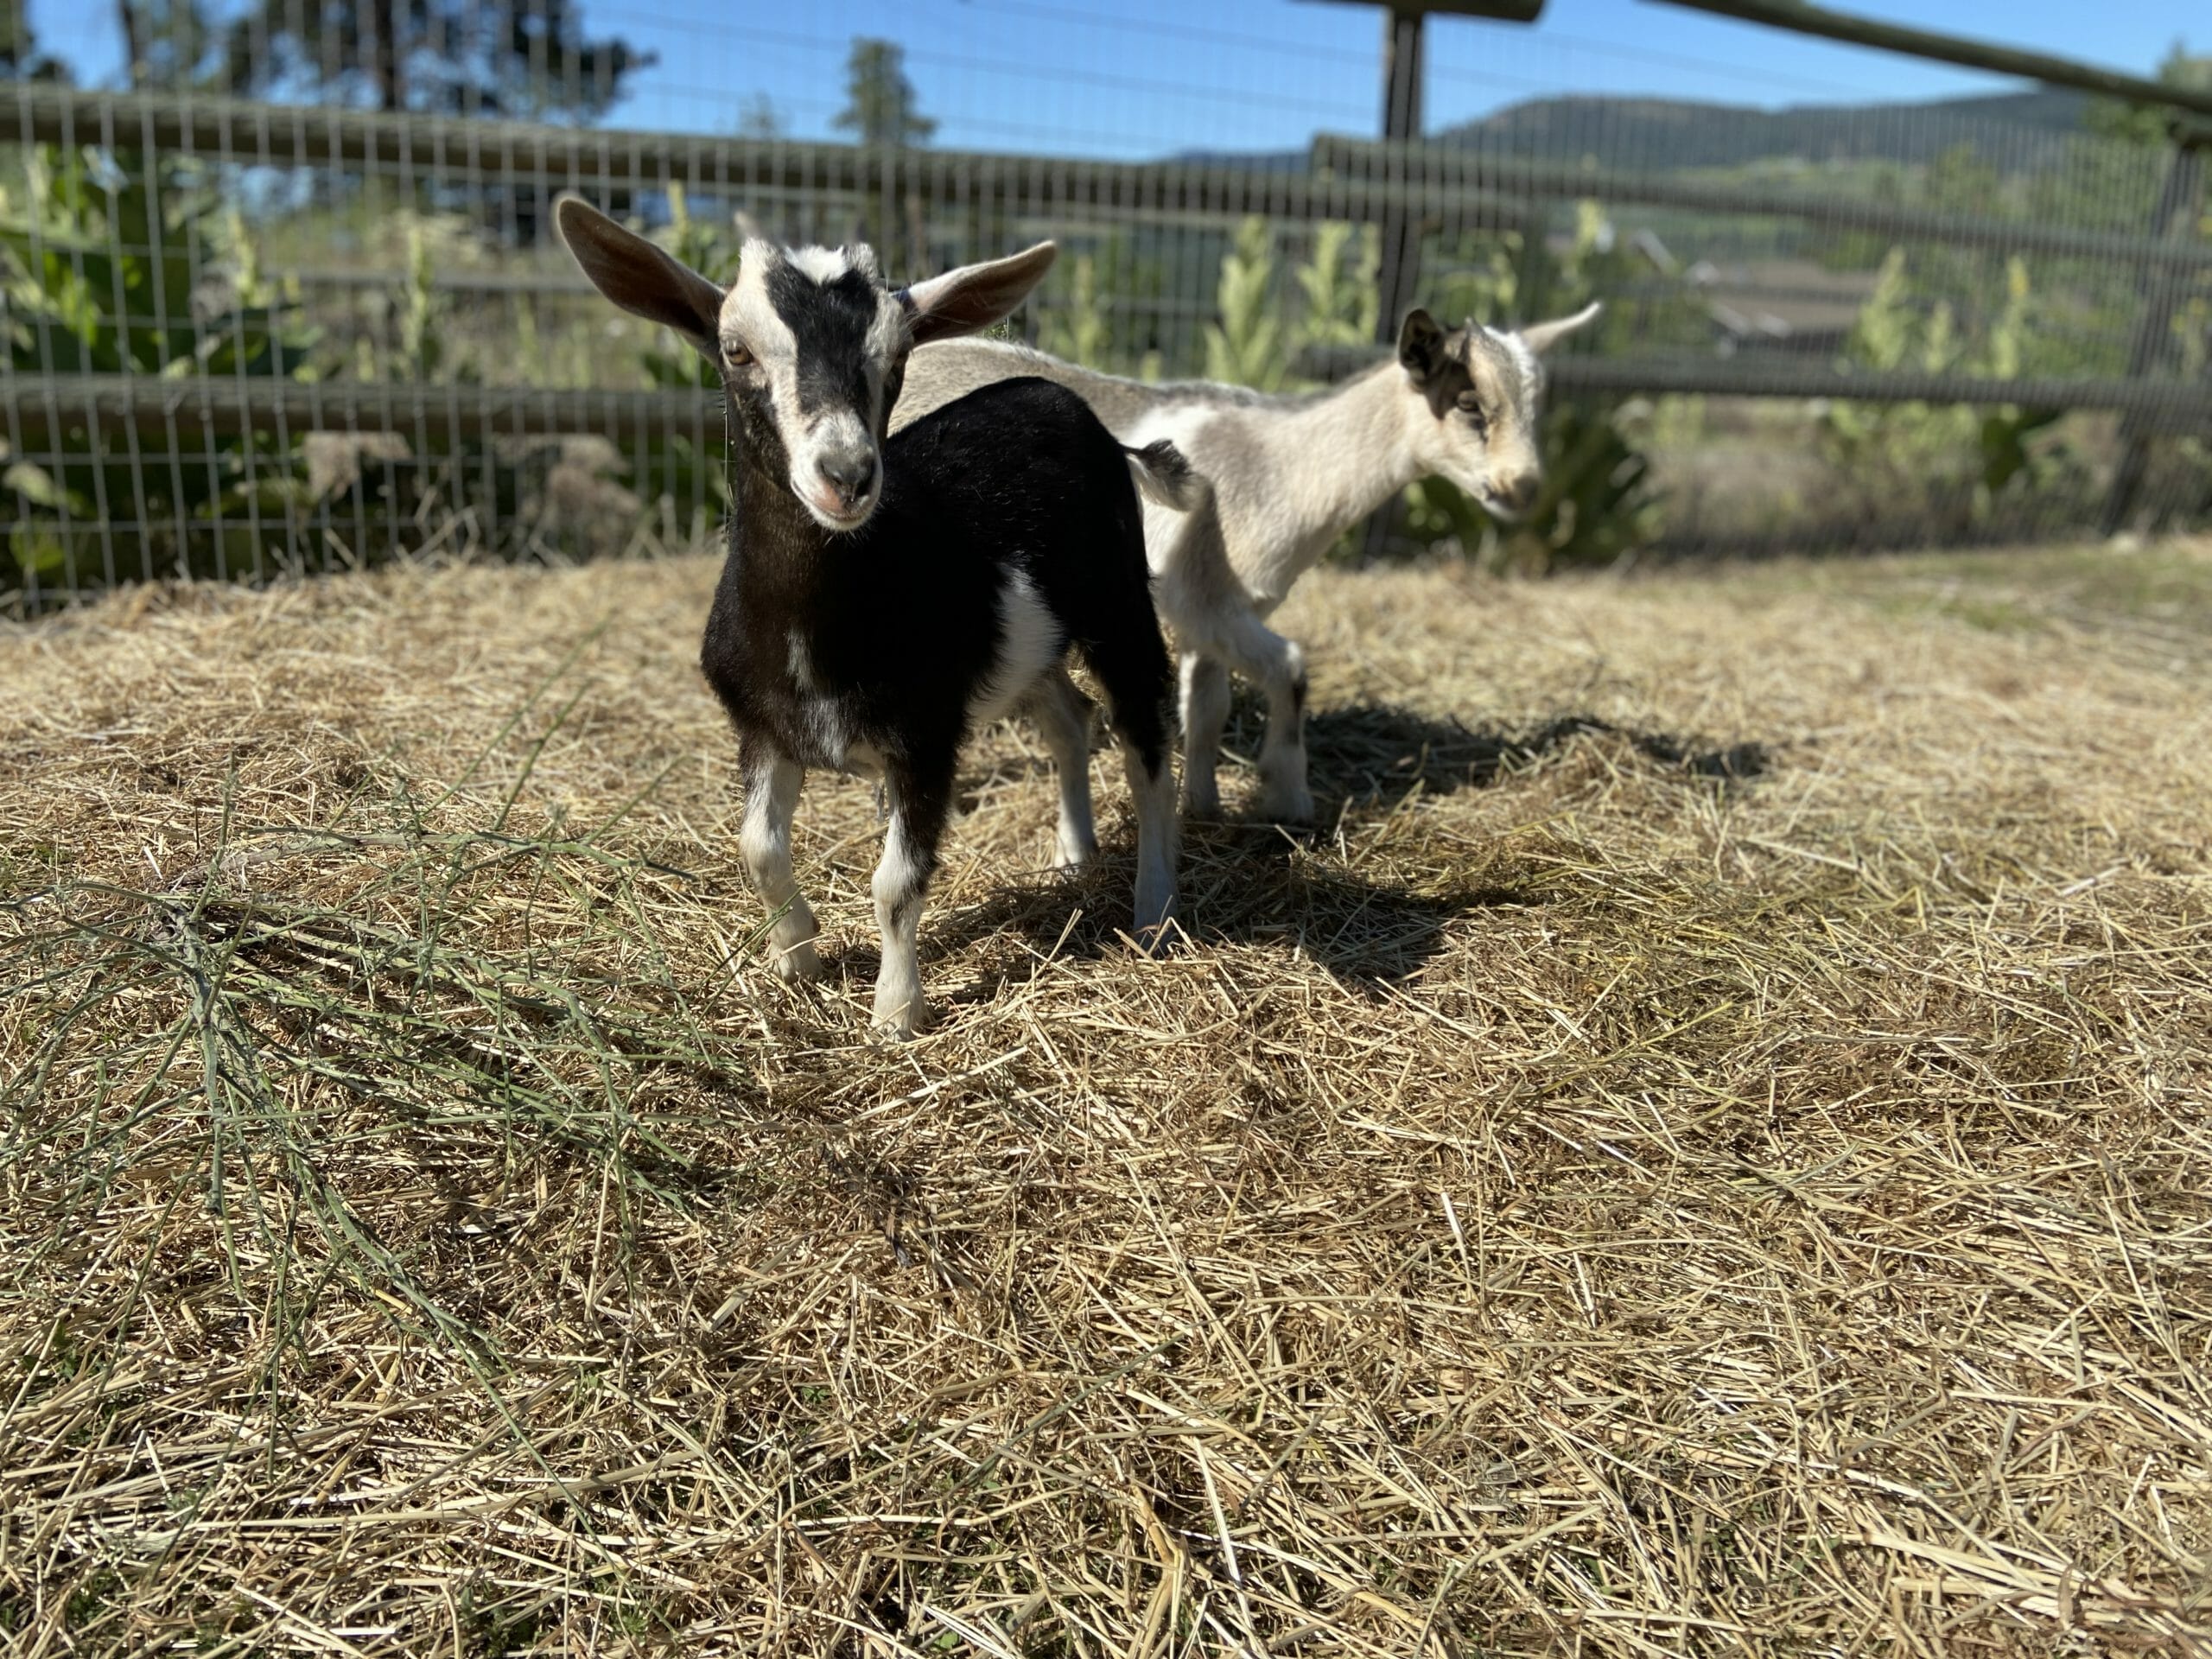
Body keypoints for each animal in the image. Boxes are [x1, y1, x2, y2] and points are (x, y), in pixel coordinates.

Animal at [555, 200, 1187, 1035]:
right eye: (736, 350)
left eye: (898, 360)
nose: (847, 475)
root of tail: (1086, 418)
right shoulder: (762, 729)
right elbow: (758, 848)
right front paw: (796, 960)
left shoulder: (927, 736)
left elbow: (897, 879)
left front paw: (896, 1012)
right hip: (1027, 647)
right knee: (1068, 717)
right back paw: (1074, 856)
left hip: (1117, 603)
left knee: (1146, 733)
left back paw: (1155, 914)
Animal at [892, 304, 1601, 820]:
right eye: (1468, 403)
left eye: (1536, 407)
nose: (1523, 488)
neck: (1282, 467)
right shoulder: (1206, 599)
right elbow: (1291, 669)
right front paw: (1288, 797)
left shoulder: (1215, 612)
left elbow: (1206, 710)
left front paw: (1202, 807)